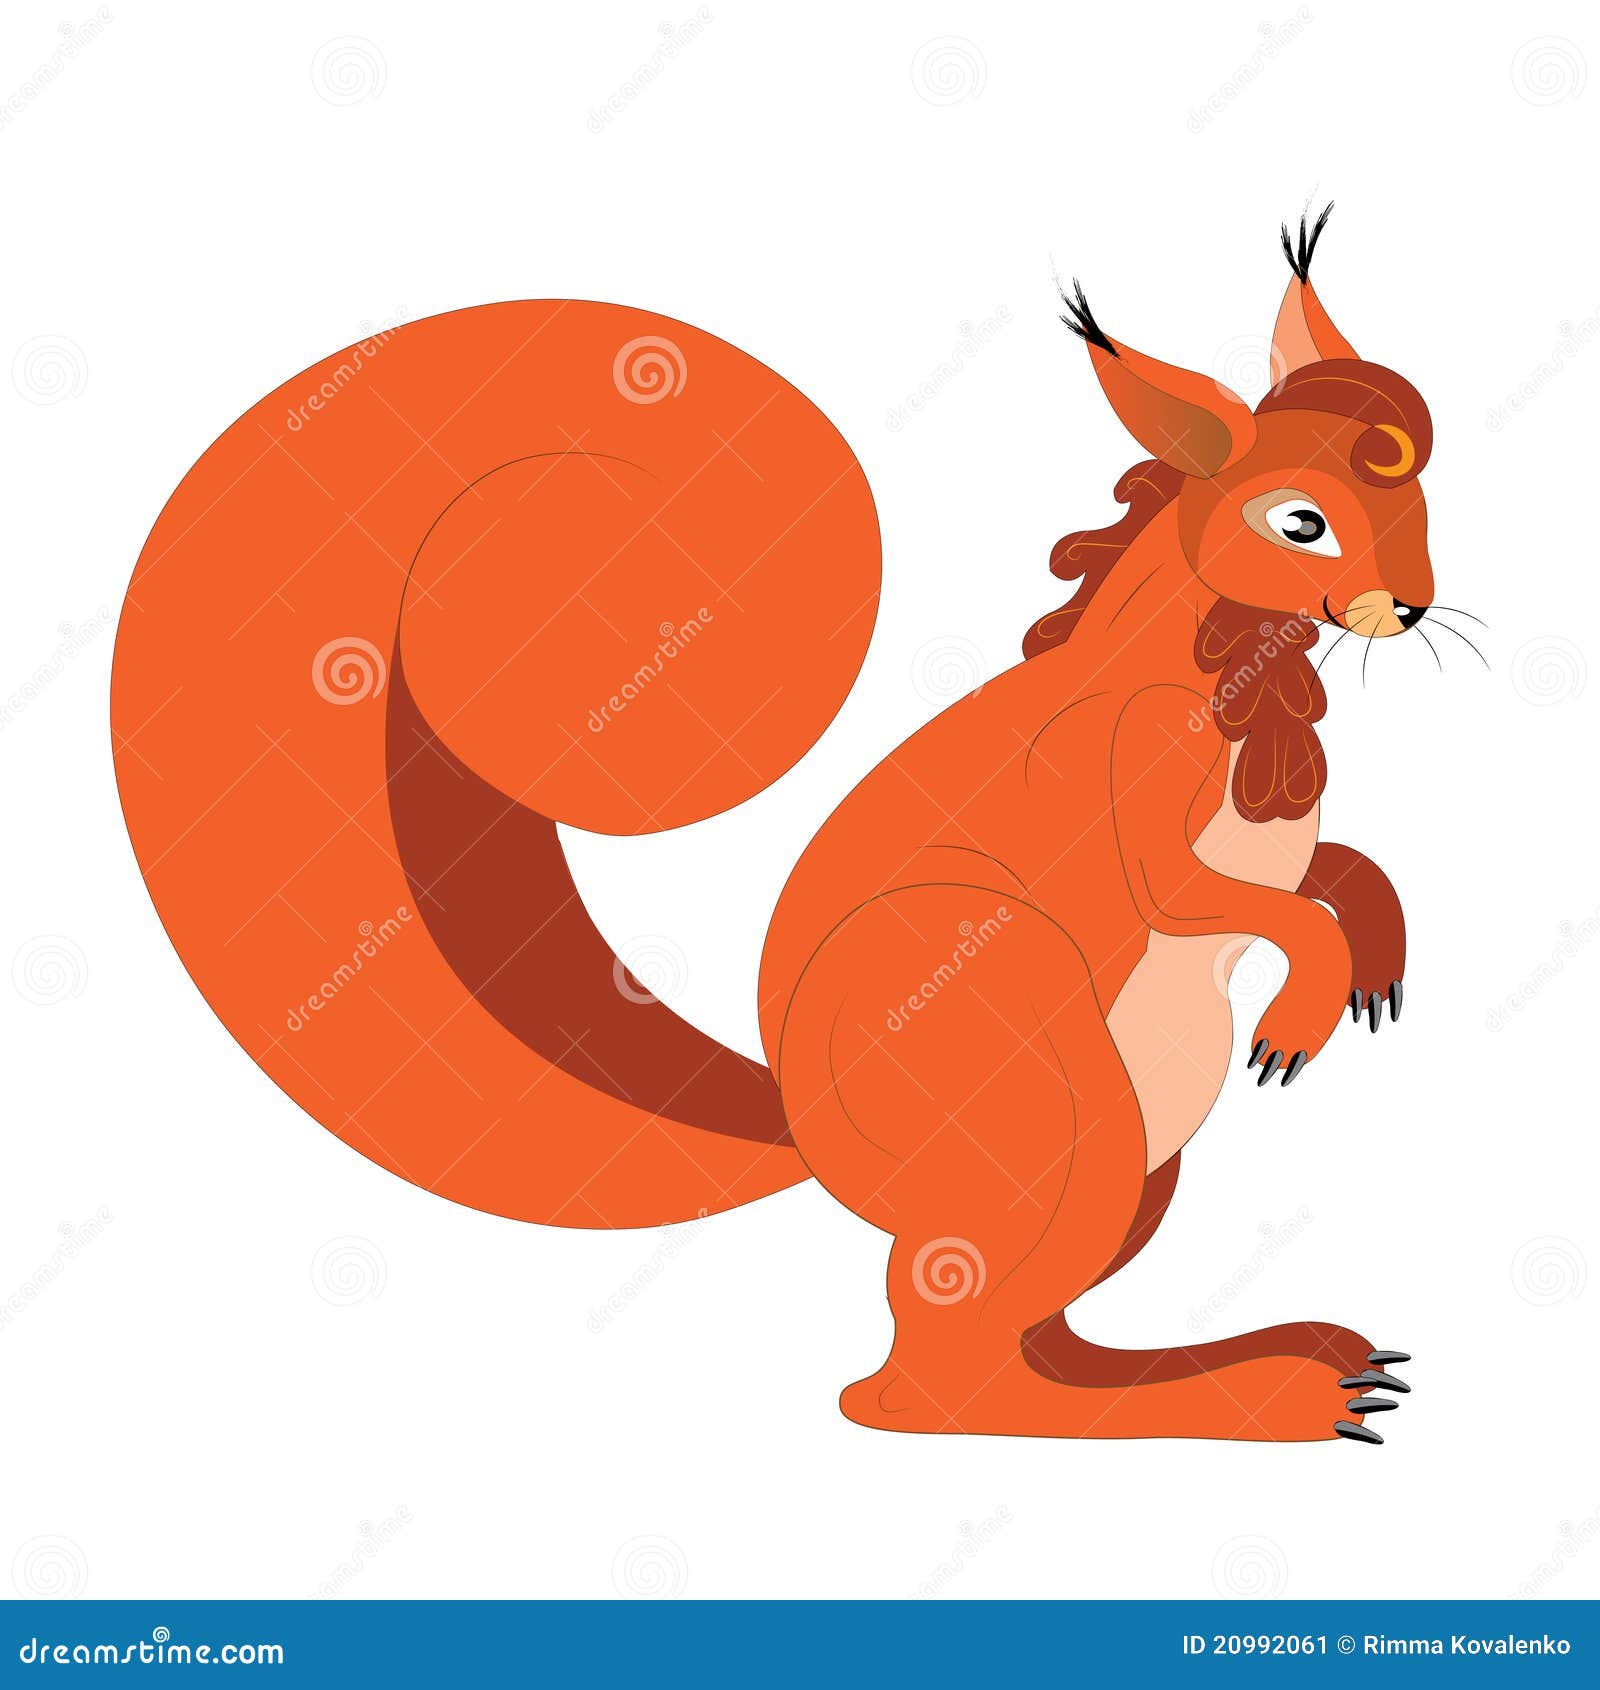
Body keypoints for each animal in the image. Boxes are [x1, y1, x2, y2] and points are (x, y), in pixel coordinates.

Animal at [114, 209, 1433, 1442]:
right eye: (1299, 522)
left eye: (1420, 476)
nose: (1411, 607)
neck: (1230, 665)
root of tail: (808, 1136)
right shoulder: (1131, 767)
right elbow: (1205, 896)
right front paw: (1306, 1000)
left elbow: (1338, 865)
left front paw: (1373, 954)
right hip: (1029, 1052)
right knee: (921, 1382)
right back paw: (1264, 1394)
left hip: (1132, 1169)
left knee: (1001, 1339)